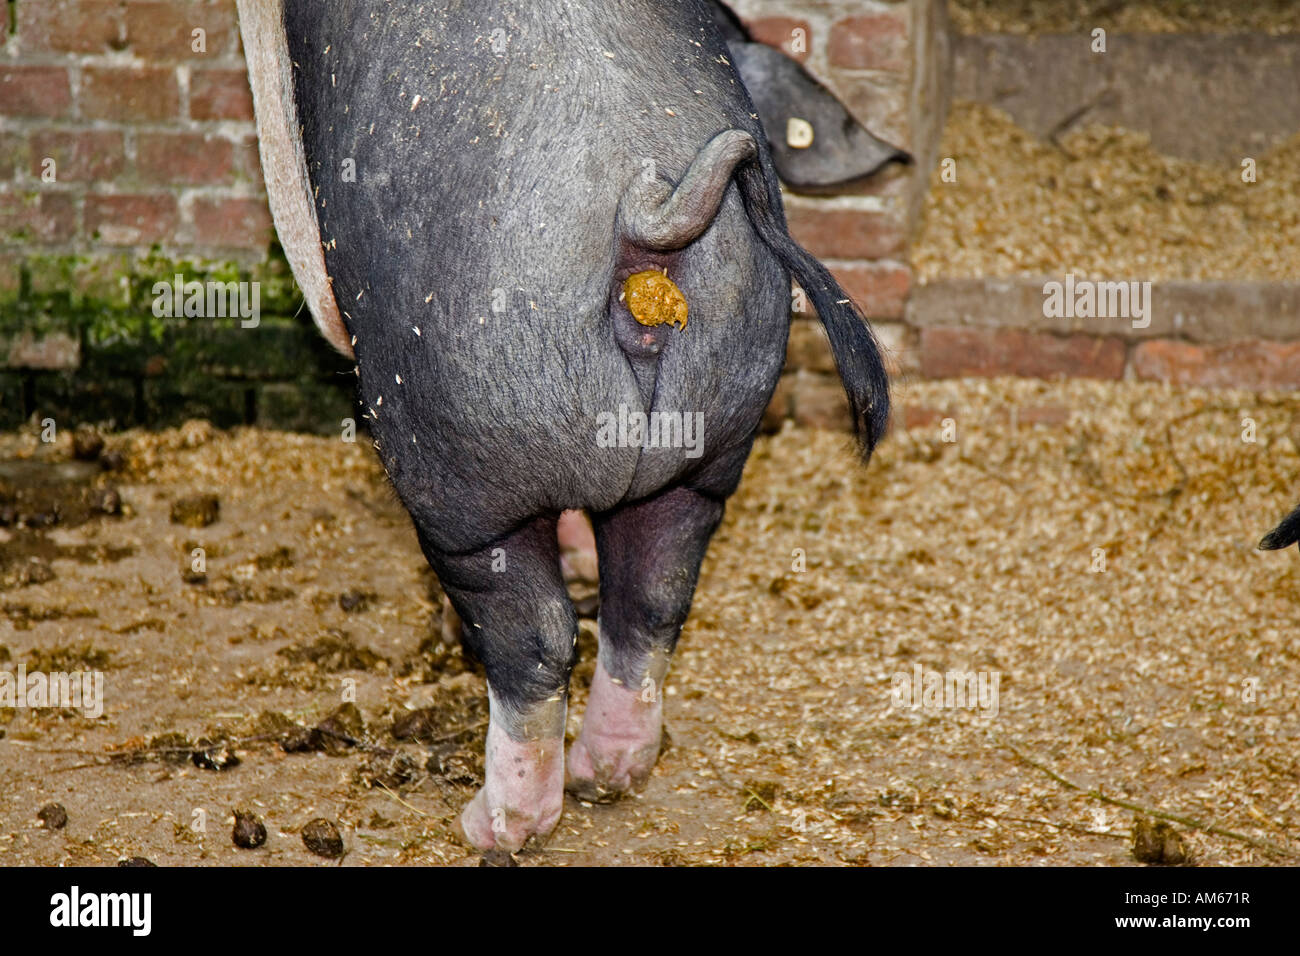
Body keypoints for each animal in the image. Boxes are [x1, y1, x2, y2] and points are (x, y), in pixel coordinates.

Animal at [238, 0, 890, 852]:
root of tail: (652, 218)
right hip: (712, 437)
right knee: (652, 598)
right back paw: (606, 774)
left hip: (464, 450)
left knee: (536, 637)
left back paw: (492, 825)